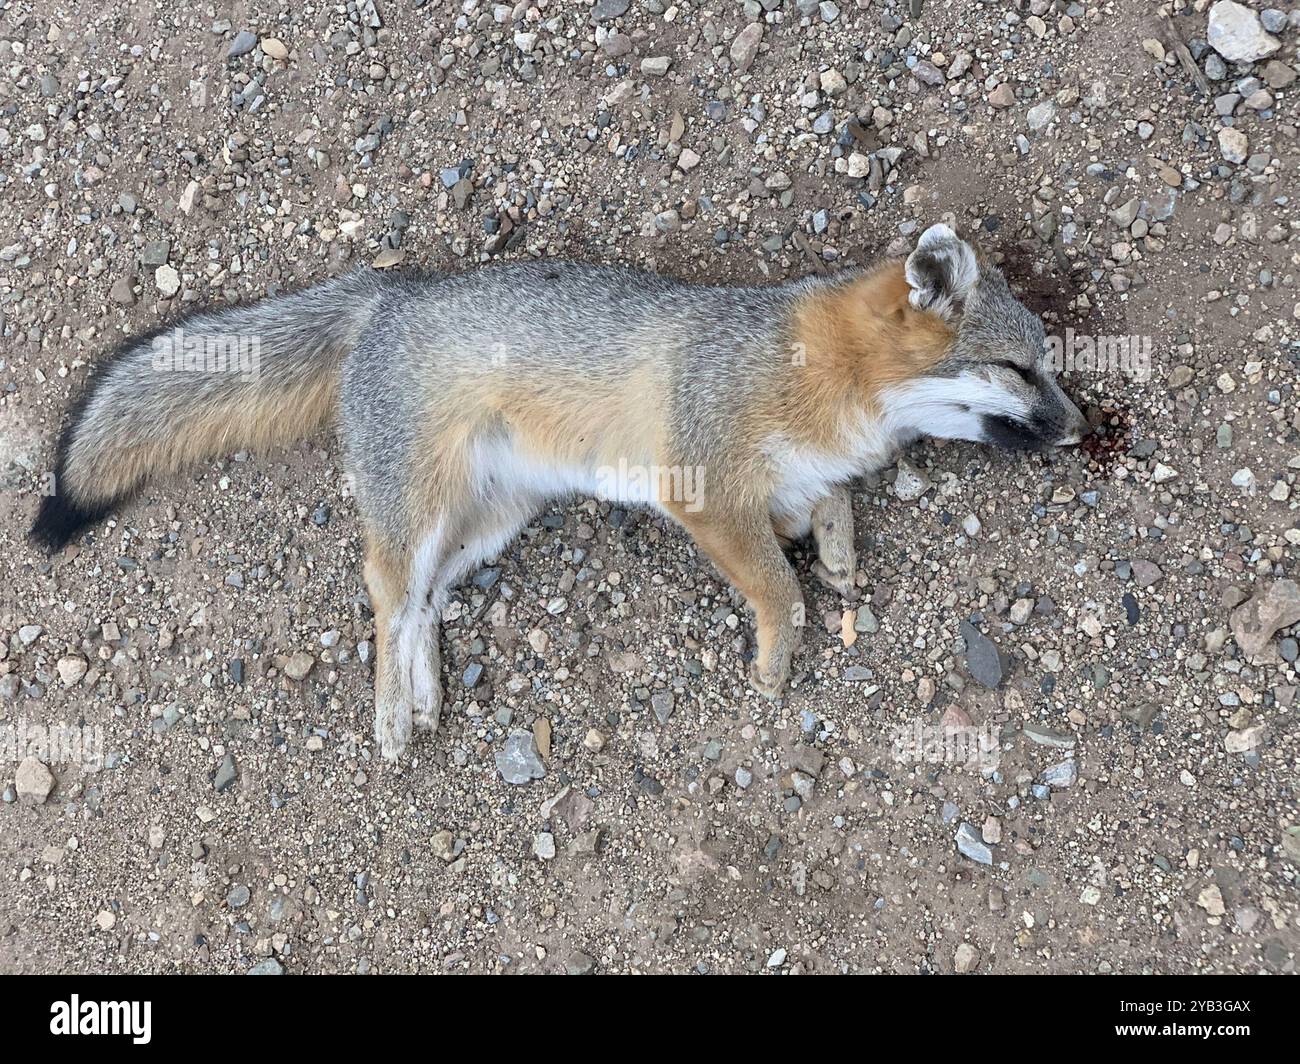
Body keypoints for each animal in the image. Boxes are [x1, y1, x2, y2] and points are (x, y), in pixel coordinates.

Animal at [31, 223, 1088, 760]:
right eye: (1020, 369)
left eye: (1048, 366)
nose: (1083, 427)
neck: (818, 375)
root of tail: (391, 292)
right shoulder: (703, 490)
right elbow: (778, 588)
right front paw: (778, 657)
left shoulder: (779, 479)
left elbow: (823, 504)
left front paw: (837, 544)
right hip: (417, 513)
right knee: (386, 600)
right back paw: (391, 720)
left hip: (490, 522)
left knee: (424, 604)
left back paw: (424, 697)